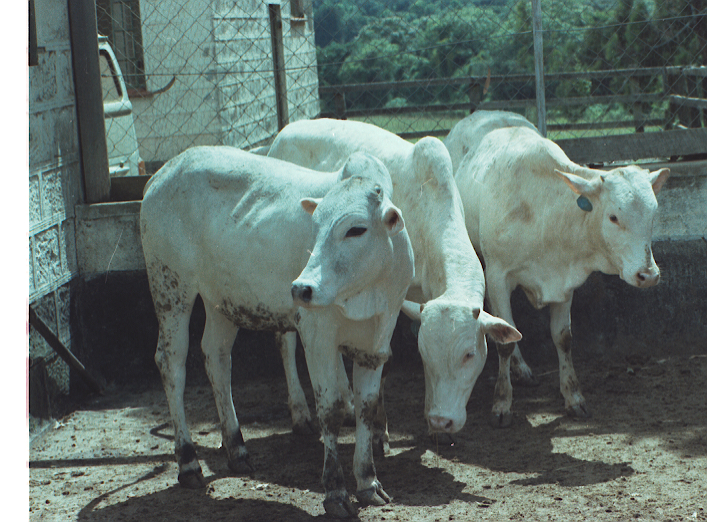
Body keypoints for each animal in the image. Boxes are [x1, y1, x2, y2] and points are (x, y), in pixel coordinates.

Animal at [140, 146, 414, 517]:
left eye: (356, 229)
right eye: (315, 227)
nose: (302, 288)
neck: (366, 292)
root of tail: (163, 172)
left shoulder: (377, 340)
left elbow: (366, 408)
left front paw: (369, 482)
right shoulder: (316, 337)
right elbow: (331, 409)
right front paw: (335, 491)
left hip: (220, 300)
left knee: (217, 358)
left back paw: (237, 448)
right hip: (171, 286)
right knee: (172, 363)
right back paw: (188, 462)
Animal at [268, 118, 522, 441]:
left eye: (469, 354)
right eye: (425, 354)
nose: (443, 420)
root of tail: (286, 130)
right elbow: (383, 361)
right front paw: (380, 430)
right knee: (286, 341)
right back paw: (301, 413)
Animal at [445, 110, 670, 427]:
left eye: (653, 214)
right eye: (613, 217)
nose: (648, 275)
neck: (543, 213)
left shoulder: (565, 281)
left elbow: (563, 338)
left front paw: (574, 397)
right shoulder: (498, 275)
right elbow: (504, 341)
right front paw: (502, 403)